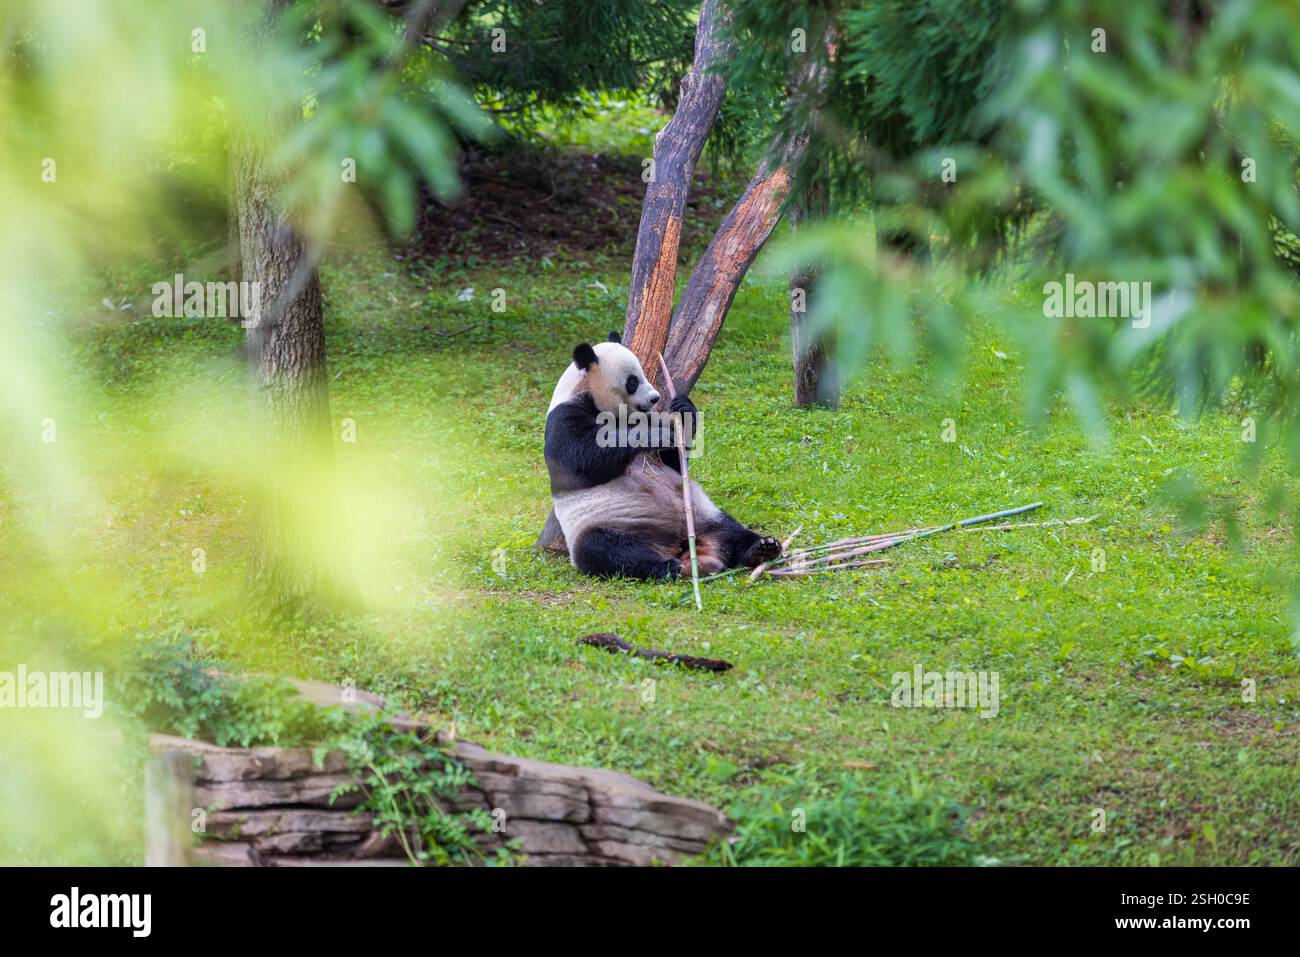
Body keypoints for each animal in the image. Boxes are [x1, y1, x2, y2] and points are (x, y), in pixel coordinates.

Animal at [544, 331, 782, 580]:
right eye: (632, 381)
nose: (655, 398)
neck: (586, 392)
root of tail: (679, 547)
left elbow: (675, 462)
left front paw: (683, 410)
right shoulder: (564, 418)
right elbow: (584, 459)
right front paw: (656, 435)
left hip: (703, 514)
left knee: (730, 530)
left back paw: (762, 548)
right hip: (609, 522)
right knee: (607, 550)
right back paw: (667, 566)